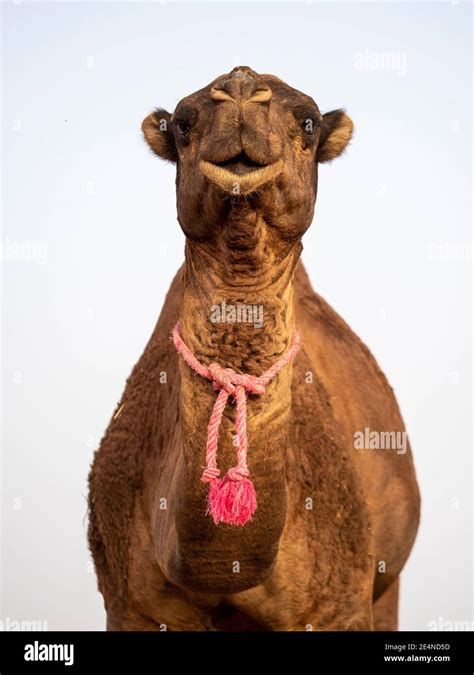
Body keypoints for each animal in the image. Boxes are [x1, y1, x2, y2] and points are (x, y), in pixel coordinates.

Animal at [88, 66, 420, 631]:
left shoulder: (340, 600)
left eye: (308, 123)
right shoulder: (130, 606)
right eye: (182, 124)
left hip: (385, 582)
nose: (241, 92)